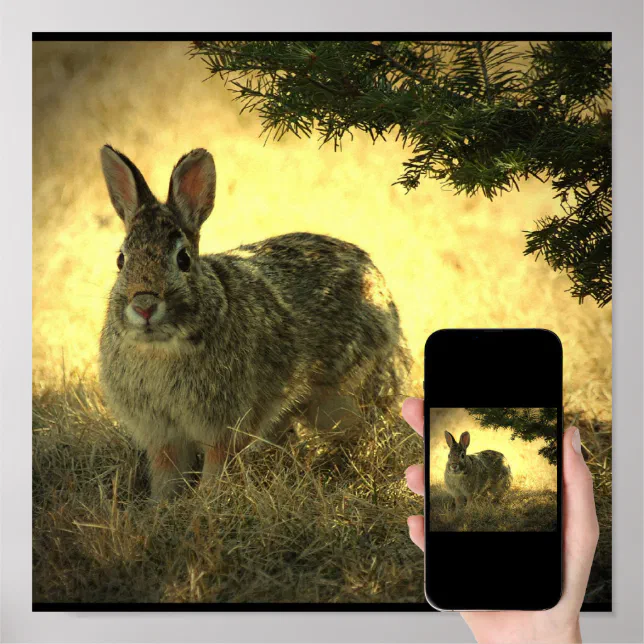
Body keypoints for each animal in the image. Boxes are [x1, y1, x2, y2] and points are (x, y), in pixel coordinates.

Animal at [98, 144, 410, 500]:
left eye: (183, 259)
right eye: (121, 260)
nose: (144, 306)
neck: (161, 347)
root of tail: (379, 284)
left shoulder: (226, 425)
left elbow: (217, 465)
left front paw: (208, 501)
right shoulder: (163, 434)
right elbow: (167, 472)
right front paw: (163, 505)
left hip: (342, 401)